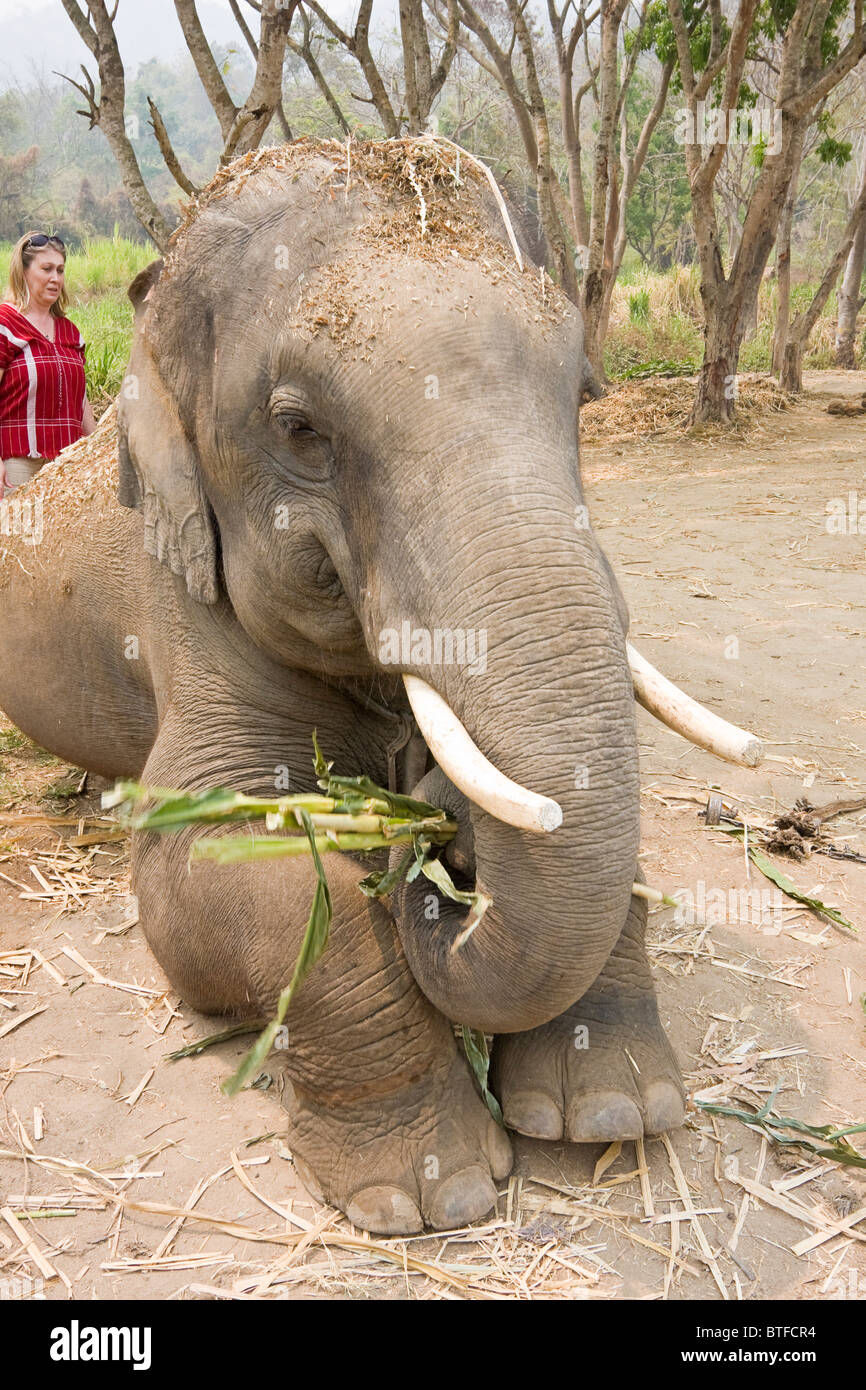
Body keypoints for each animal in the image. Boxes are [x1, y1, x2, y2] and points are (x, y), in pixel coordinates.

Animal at [0, 138, 713, 1235]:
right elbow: (201, 863)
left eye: (584, 398)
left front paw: (612, 1110)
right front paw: (431, 1192)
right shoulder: (184, 607)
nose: (434, 839)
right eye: (298, 428)